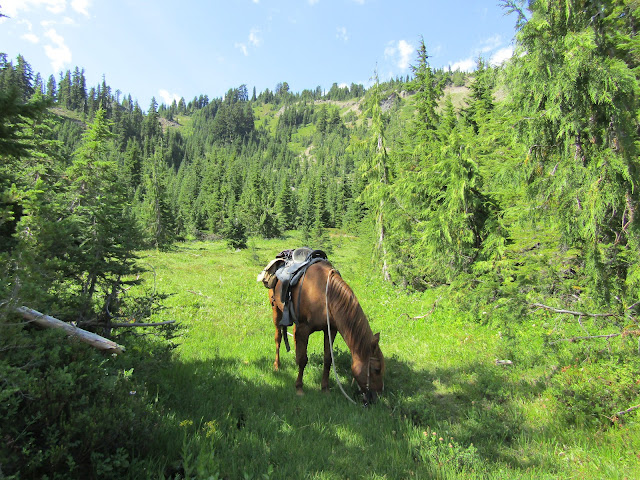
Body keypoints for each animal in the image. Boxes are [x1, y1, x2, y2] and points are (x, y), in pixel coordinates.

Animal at [268, 259, 385, 404]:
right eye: (376, 369)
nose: (377, 396)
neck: (325, 296)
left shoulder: (331, 331)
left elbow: (328, 359)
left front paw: (325, 388)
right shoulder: (304, 329)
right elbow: (303, 360)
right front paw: (299, 388)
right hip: (276, 311)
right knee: (278, 338)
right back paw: (277, 365)